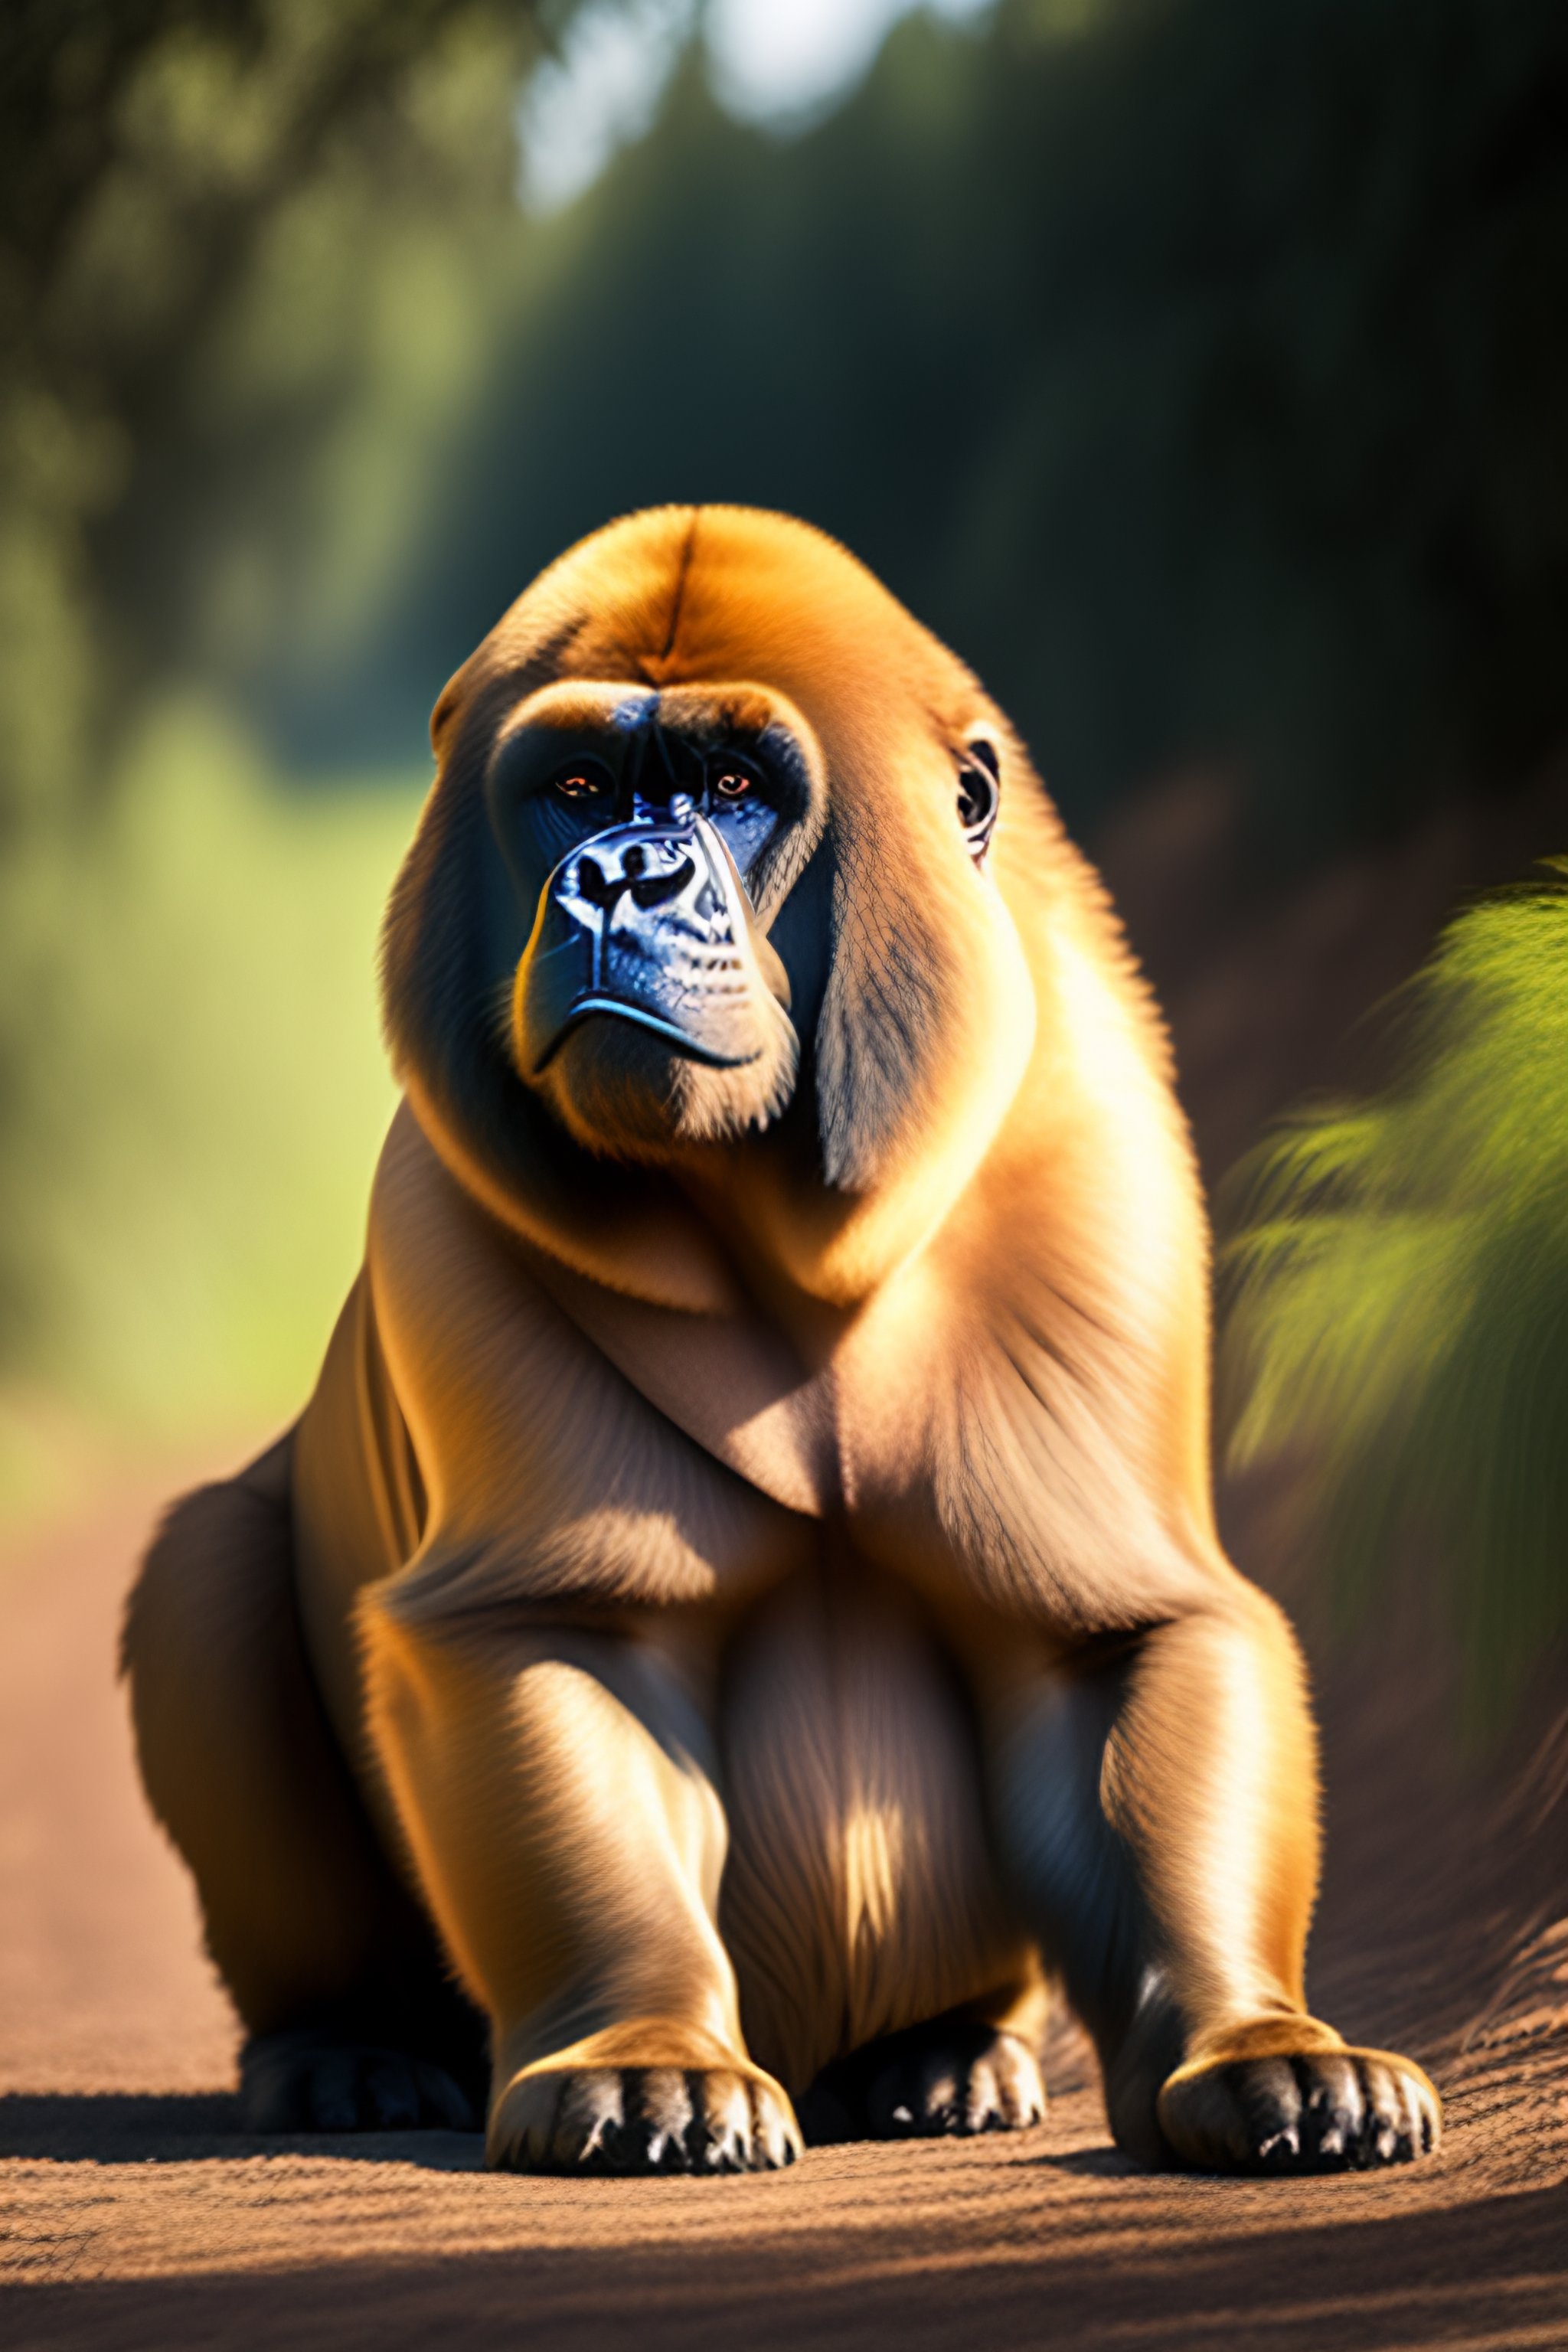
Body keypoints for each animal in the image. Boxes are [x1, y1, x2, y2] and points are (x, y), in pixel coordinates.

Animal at [123, 505, 1441, 2176]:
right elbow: (572, 1682)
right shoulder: (446, 1232)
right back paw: (343, 2048)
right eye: (575, 791)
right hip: (223, 1594)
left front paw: (1262, 2044)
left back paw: (938, 2054)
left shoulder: (1100, 1176)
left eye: (739, 787)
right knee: (205, 1573)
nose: (617, 874)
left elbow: (1117, 1649)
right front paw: (646, 2060)